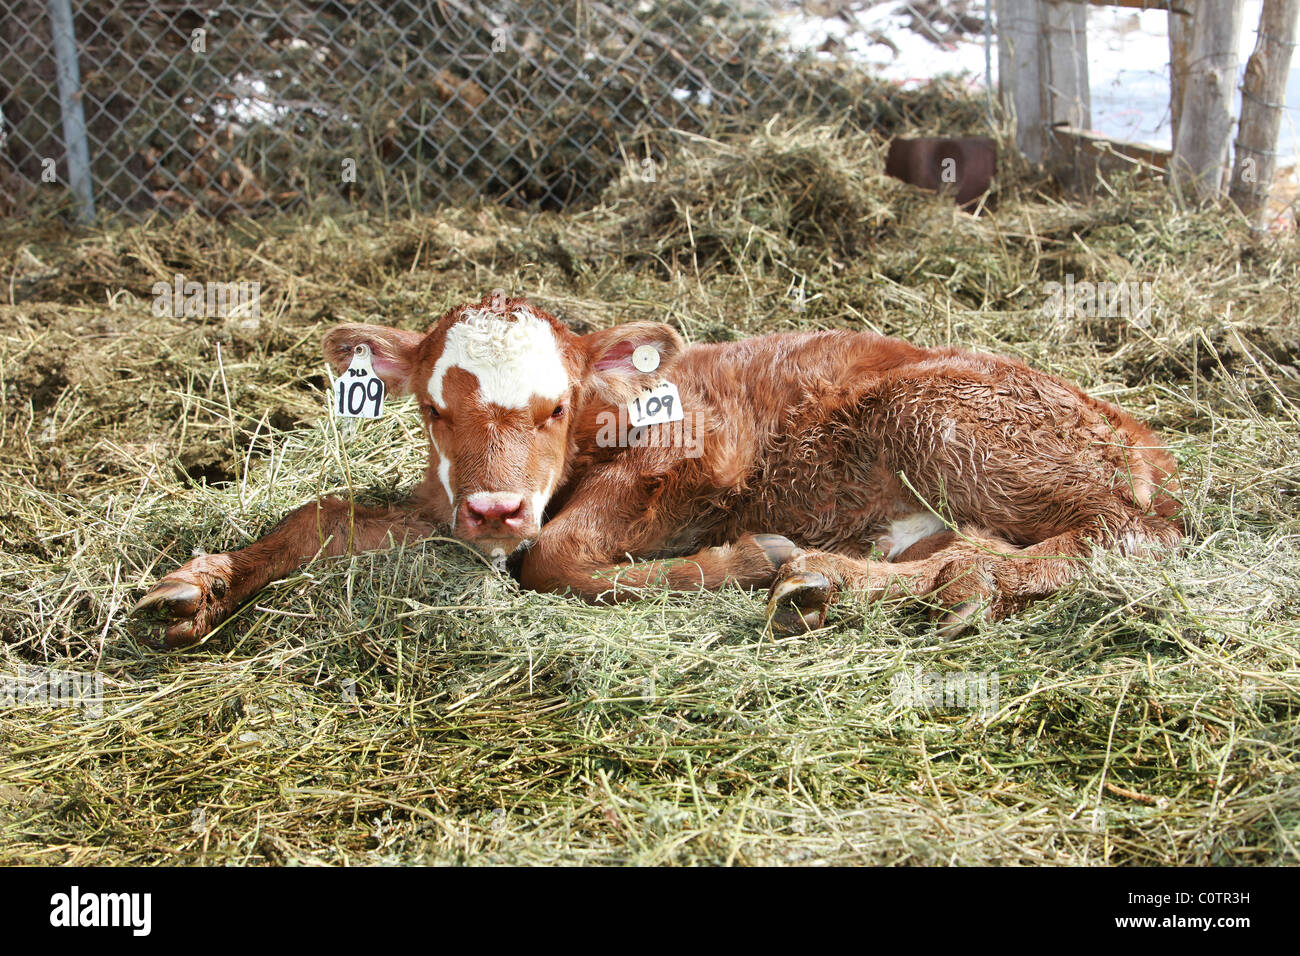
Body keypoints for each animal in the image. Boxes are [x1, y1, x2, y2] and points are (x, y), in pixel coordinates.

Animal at [133, 294, 1183, 648]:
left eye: (555, 406)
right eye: (434, 408)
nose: (496, 505)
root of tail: (1136, 433)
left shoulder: (693, 460)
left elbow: (557, 556)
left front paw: (741, 560)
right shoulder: (447, 508)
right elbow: (320, 516)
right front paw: (193, 587)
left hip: (953, 419)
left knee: (1126, 533)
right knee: (964, 544)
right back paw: (836, 583)